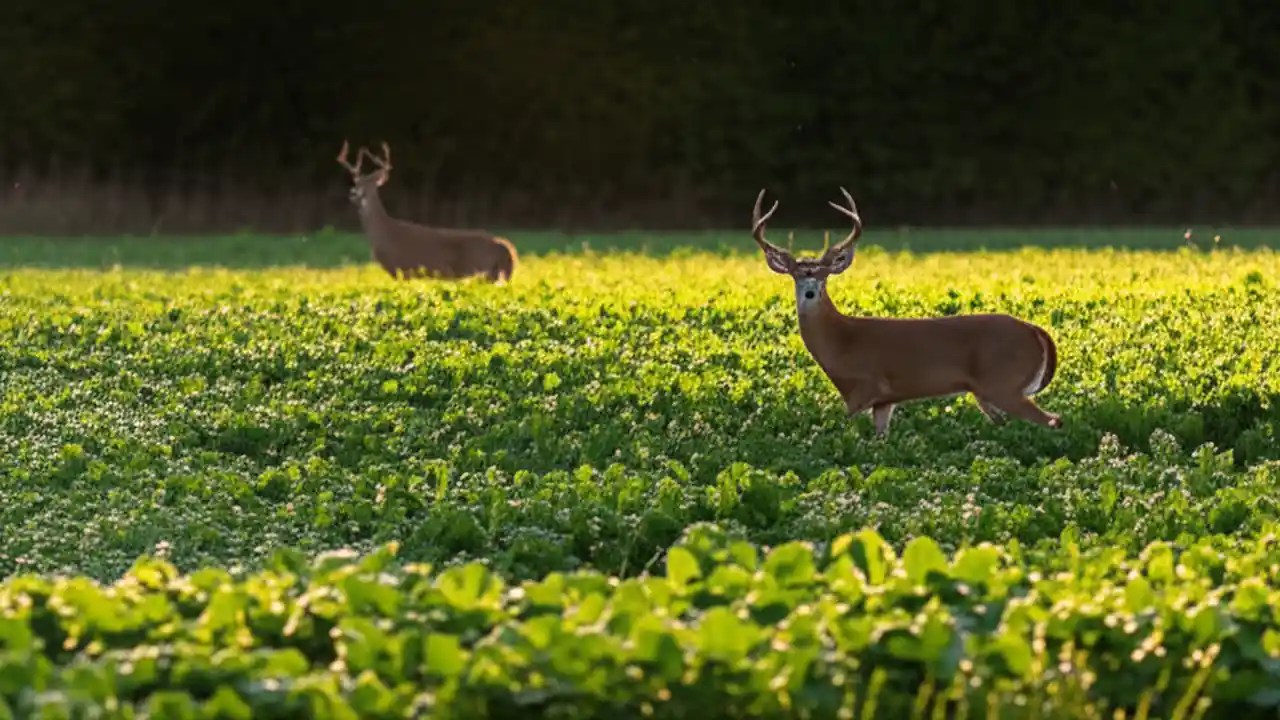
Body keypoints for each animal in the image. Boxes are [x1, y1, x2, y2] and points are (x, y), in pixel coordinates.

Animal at [336, 140, 518, 282]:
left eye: (368, 185)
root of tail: (504, 248)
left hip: (480, 270)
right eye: (356, 183)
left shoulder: (402, 269)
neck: (384, 234)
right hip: (492, 274)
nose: (353, 194)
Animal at [749, 188, 1061, 438]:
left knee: (1053, 420)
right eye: (797, 277)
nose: (810, 293)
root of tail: (1035, 331)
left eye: (823, 277)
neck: (841, 340)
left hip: (1004, 383)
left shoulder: (864, 388)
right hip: (990, 392)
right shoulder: (884, 401)